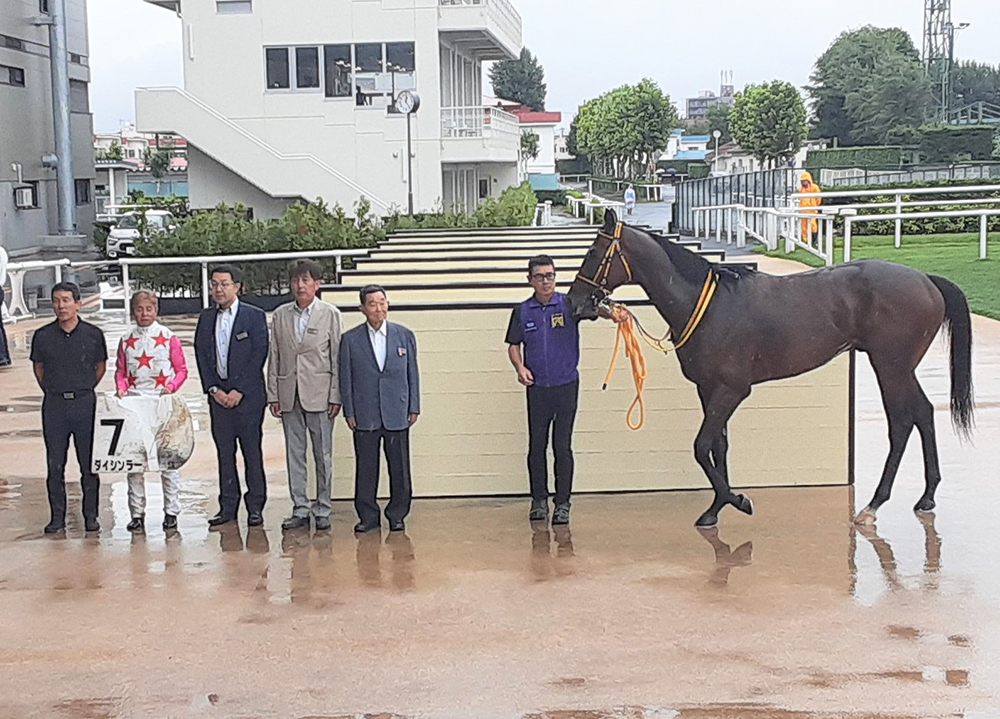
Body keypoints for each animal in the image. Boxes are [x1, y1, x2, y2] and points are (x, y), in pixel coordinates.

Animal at [566, 210, 974, 528]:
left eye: (594, 251)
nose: (574, 302)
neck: (708, 305)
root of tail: (925, 279)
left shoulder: (732, 390)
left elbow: (701, 446)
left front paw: (737, 500)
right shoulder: (709, 389)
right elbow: (718, 447)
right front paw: (717, 507)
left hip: (890, 366)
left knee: (902, 424)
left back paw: (873, 505)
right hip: (902, 368)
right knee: (923, 413)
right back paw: (926, 496)